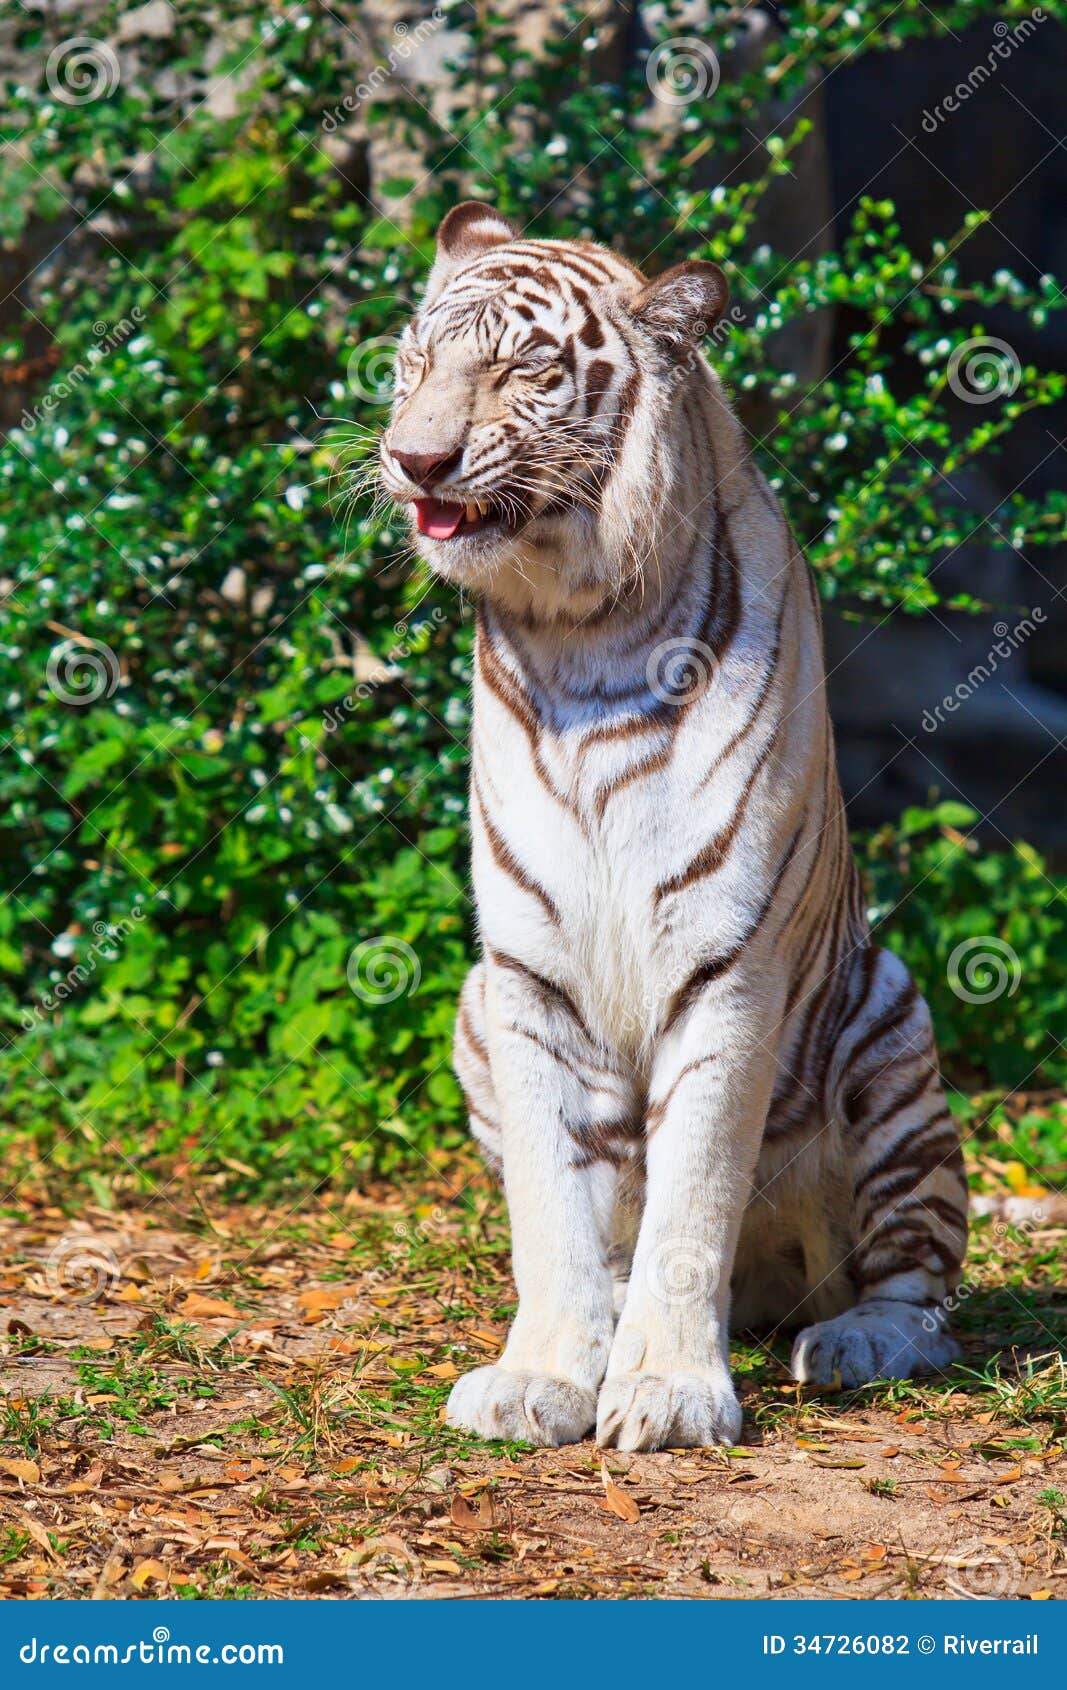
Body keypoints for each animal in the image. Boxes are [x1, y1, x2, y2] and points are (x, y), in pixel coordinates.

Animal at [377, 201, 968, 1451]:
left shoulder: (724, 961)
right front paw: (544, 1375)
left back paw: (850, 1343)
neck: (577, 633)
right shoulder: (529, 974)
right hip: (470, 1012)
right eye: (416, 361)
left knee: (916, 1279)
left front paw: (666, 1393)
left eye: (522, 369)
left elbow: (691, 1197)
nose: (415, 460)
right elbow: (552, 1207)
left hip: (889, 1024)